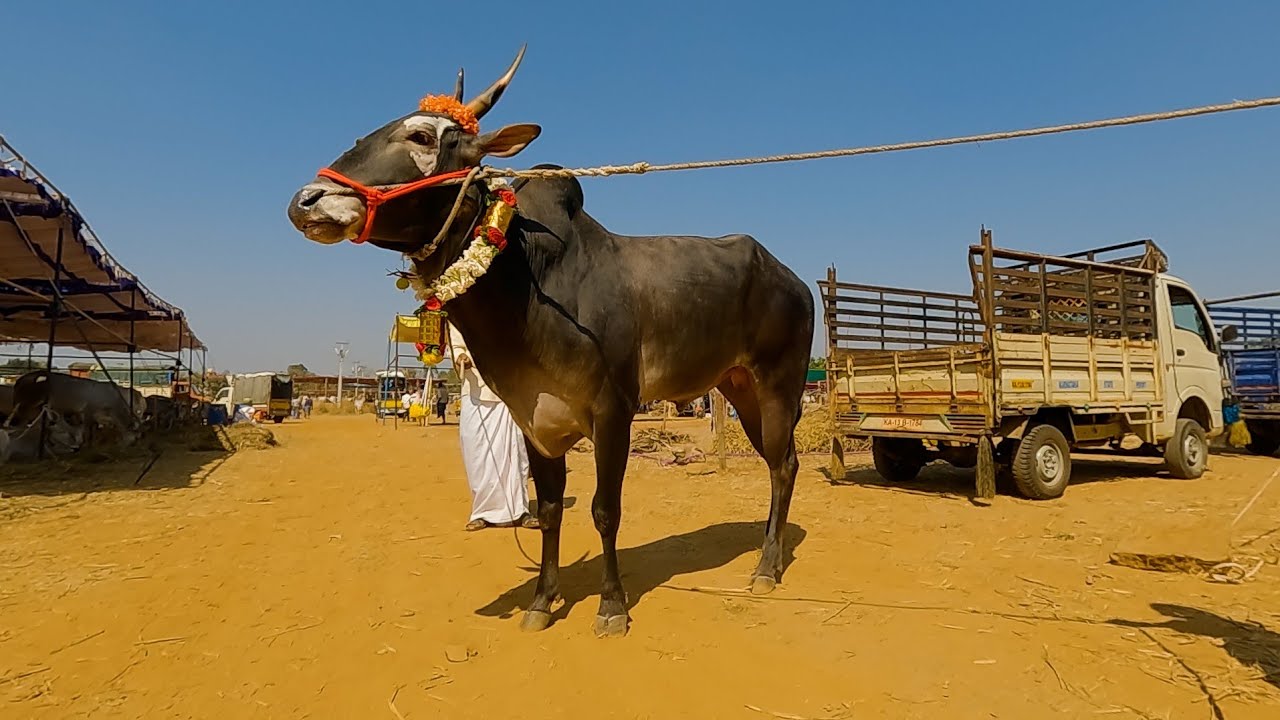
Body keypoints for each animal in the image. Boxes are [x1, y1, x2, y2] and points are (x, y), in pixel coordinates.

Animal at [286, 48, 814, 637]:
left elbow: (605, 510)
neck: (528, 281)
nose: (306, 201)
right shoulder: (533, 420)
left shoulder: (614, 411)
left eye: (421, 136)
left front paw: (611, 606)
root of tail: (793, 278)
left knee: (783, 466)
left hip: (779, 386)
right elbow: (549, 510)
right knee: (783, 463)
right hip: (739, 388)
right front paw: (542, 600)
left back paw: (766, 568)